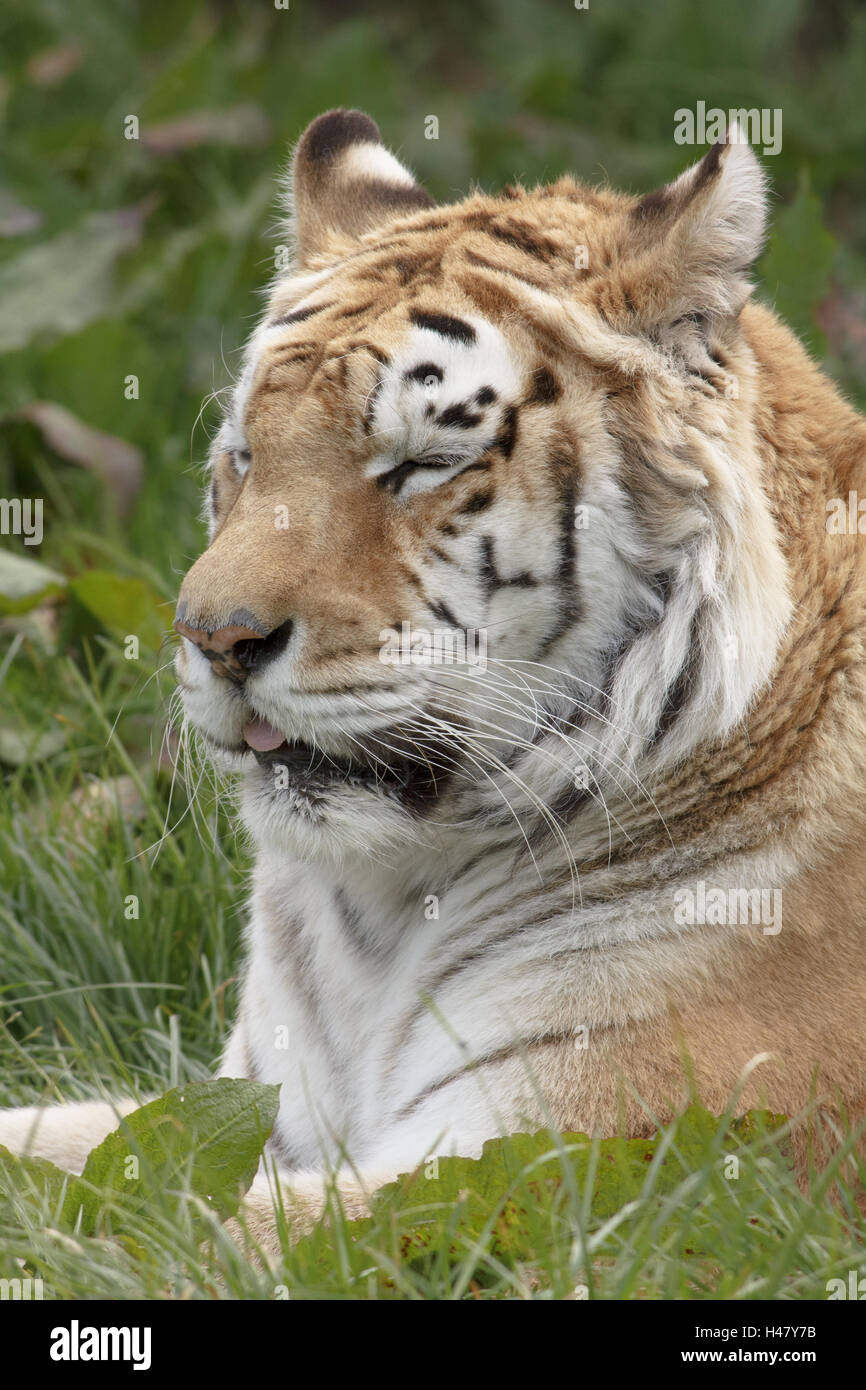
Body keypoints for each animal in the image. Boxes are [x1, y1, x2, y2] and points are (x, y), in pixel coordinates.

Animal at [2, 109, 866, 1250]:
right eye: (245, 456)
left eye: (418, 467)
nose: (212, 637)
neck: (381, 917)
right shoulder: (244, 1109)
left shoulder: (596, 1164)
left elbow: (134, 1237)